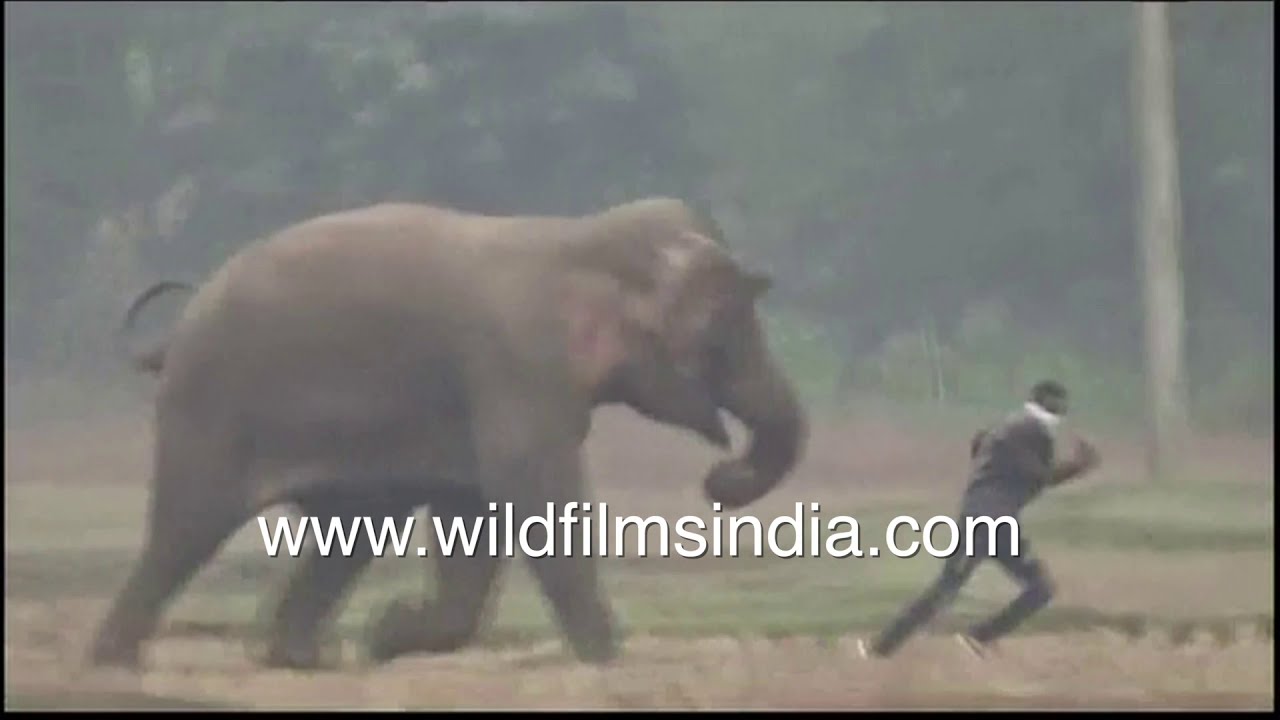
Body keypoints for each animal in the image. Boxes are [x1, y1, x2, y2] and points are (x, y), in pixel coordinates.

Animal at [88, 196, 808, 671]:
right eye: (723, 331)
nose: (720, 478)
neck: (581, 239)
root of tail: (178, 327)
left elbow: (478, 509)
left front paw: (390, 632)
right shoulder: (514, 363)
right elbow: (532, 492)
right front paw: (607, 660)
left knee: (348, 532)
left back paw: (302, 659)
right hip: (211, 408)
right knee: (187, 529)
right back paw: (115, 661)